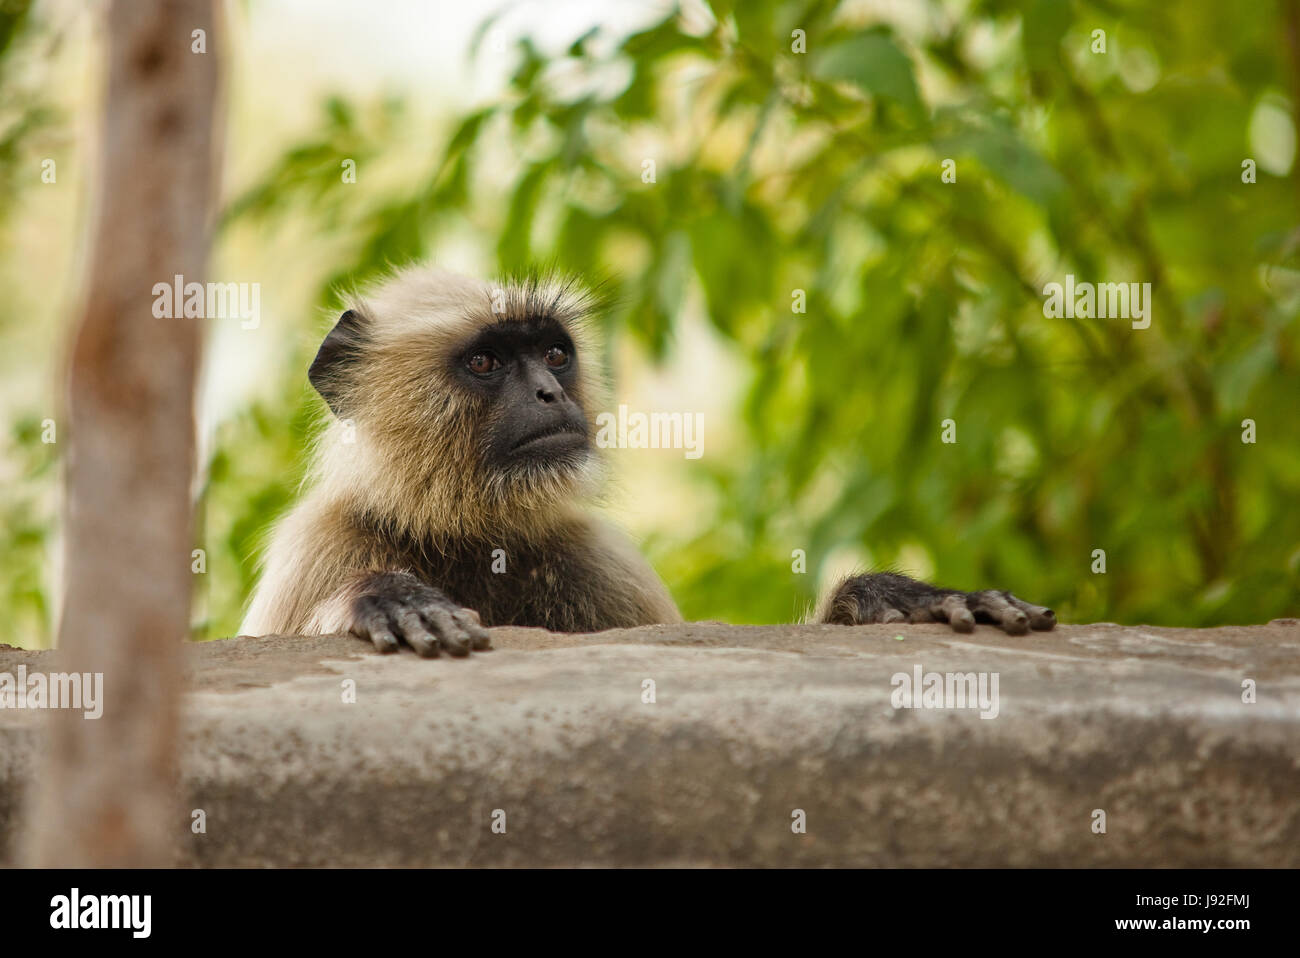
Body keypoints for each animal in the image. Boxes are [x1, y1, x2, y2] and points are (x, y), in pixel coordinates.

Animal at [240, 265, 1055, 655]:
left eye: (553, 354)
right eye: (484, 362)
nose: (548, 393)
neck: (469, 535)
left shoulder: (596, 558)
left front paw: (889, 597)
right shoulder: (323, 548)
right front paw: (384, 597)